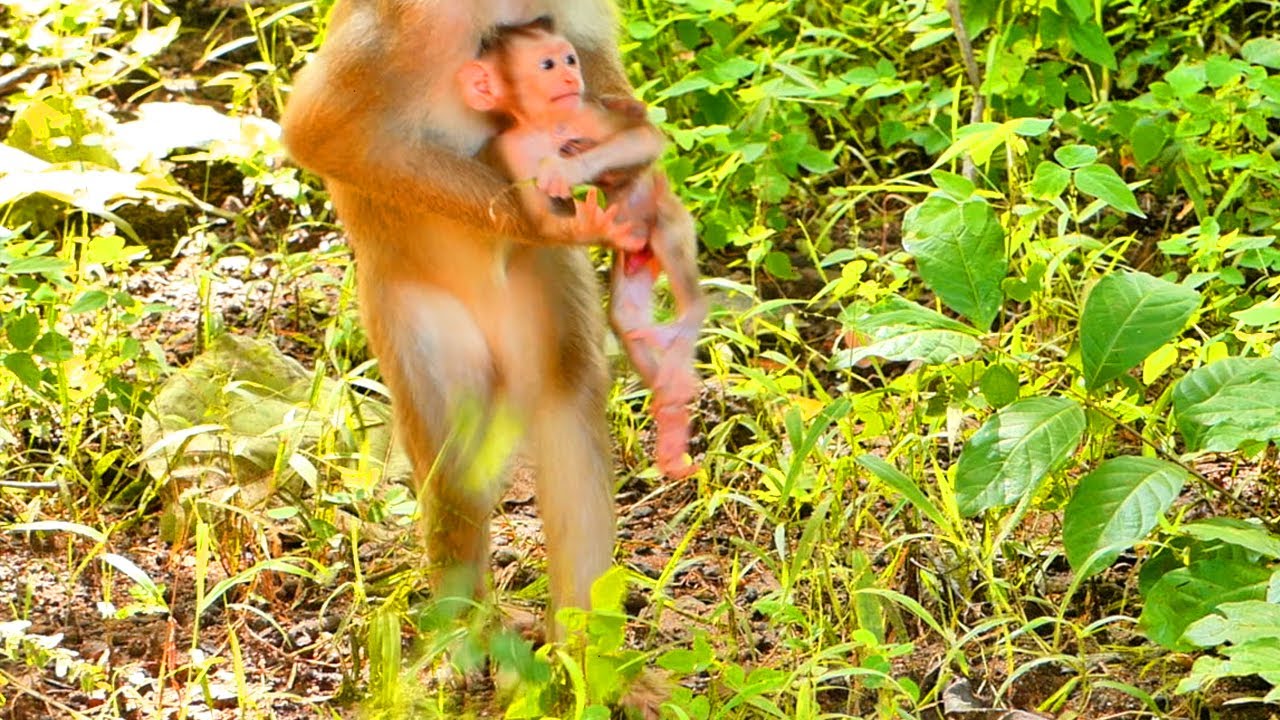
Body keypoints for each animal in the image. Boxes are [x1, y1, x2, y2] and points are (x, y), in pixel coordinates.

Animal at [279, 0, 639, 639]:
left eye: (562, 62)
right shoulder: (405, 22)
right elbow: (322, 133)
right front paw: (530, 211)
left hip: (536, 291)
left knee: (565, 396)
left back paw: (582, 646)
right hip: (417, 313)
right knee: (455, 461)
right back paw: (466, 634)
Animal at [456, 19, 706, 479]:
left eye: (570, 58)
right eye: (548, 63)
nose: (571, 75)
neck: (543, 124)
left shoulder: (584, 113)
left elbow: (644, 137)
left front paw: (570, 165)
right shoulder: (512, 150)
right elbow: (539, 219)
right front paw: (589, 222)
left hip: (668, 219)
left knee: (676, 261)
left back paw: (691, 318)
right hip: (635, 259)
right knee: (625, 316)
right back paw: (670, 406)